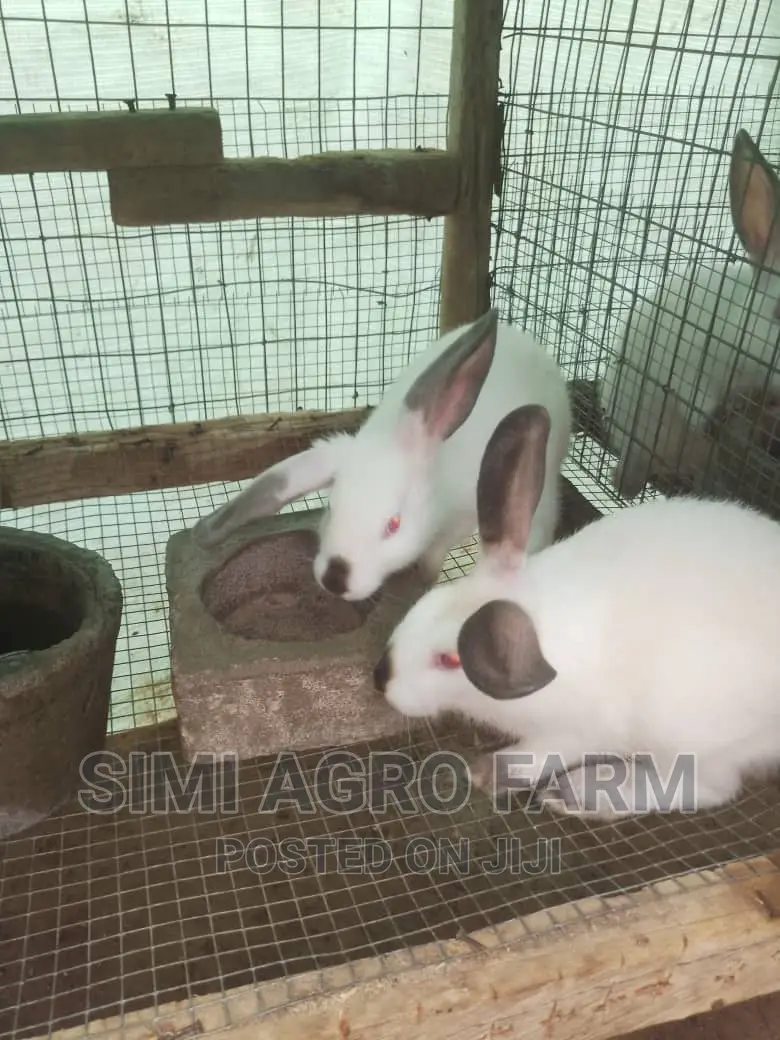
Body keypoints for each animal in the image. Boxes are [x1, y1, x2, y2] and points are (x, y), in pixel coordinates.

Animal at [373, 402, 780, 821]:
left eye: (450, 660)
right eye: (426, 603)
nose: (381, 678)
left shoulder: (579, 730)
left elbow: (538, 754)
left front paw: (488, 773)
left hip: (687, 734)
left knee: (710, 787)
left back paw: (581, 793)